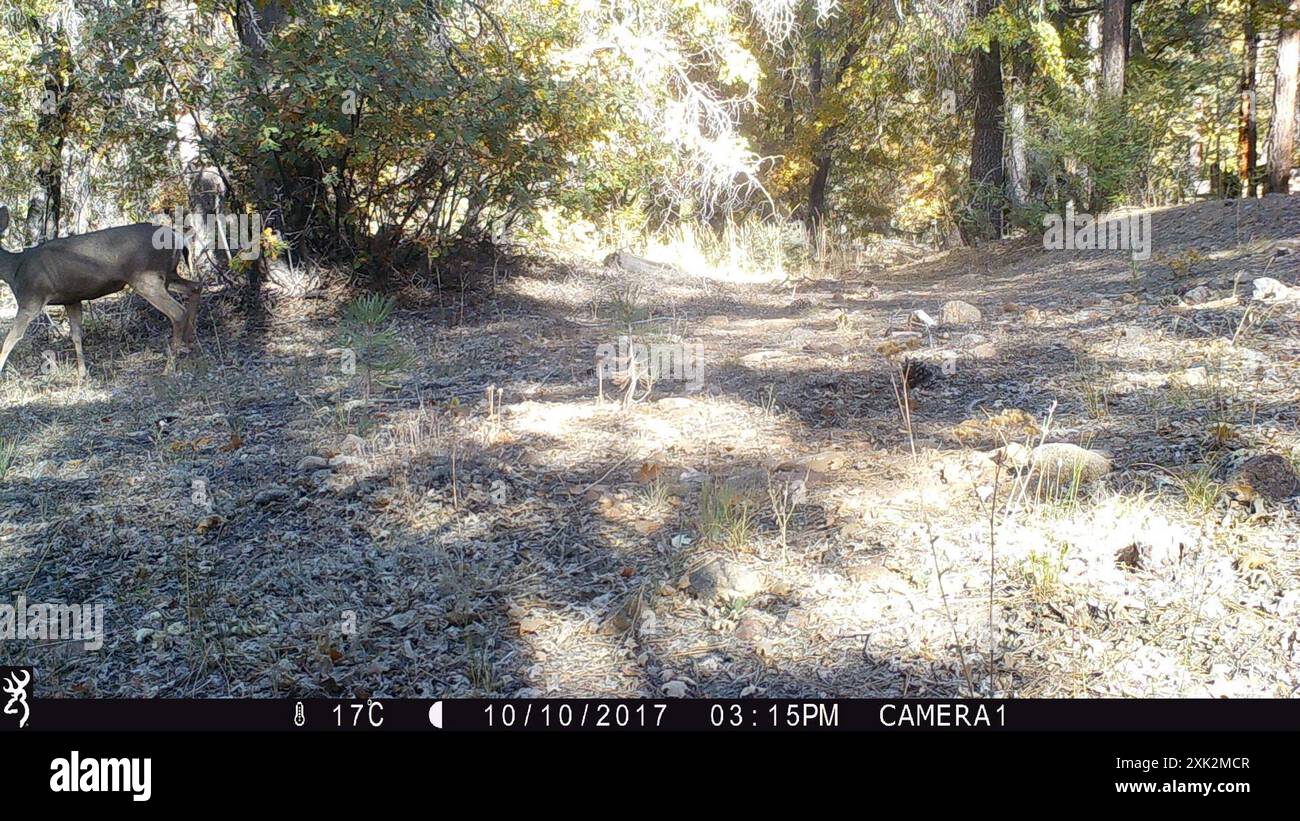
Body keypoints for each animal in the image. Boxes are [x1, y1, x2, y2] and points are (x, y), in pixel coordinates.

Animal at [0, 205, 200, 378]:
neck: (14, 269)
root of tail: (178, 238)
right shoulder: (71, 299)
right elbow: (76, 334)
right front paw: (82, 374)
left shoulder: (31, 298)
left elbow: (11, 338)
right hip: (168, 275)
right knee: (195, 287)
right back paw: (189, 344)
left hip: (146, 277)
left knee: (177, 312)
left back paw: (168, 367)